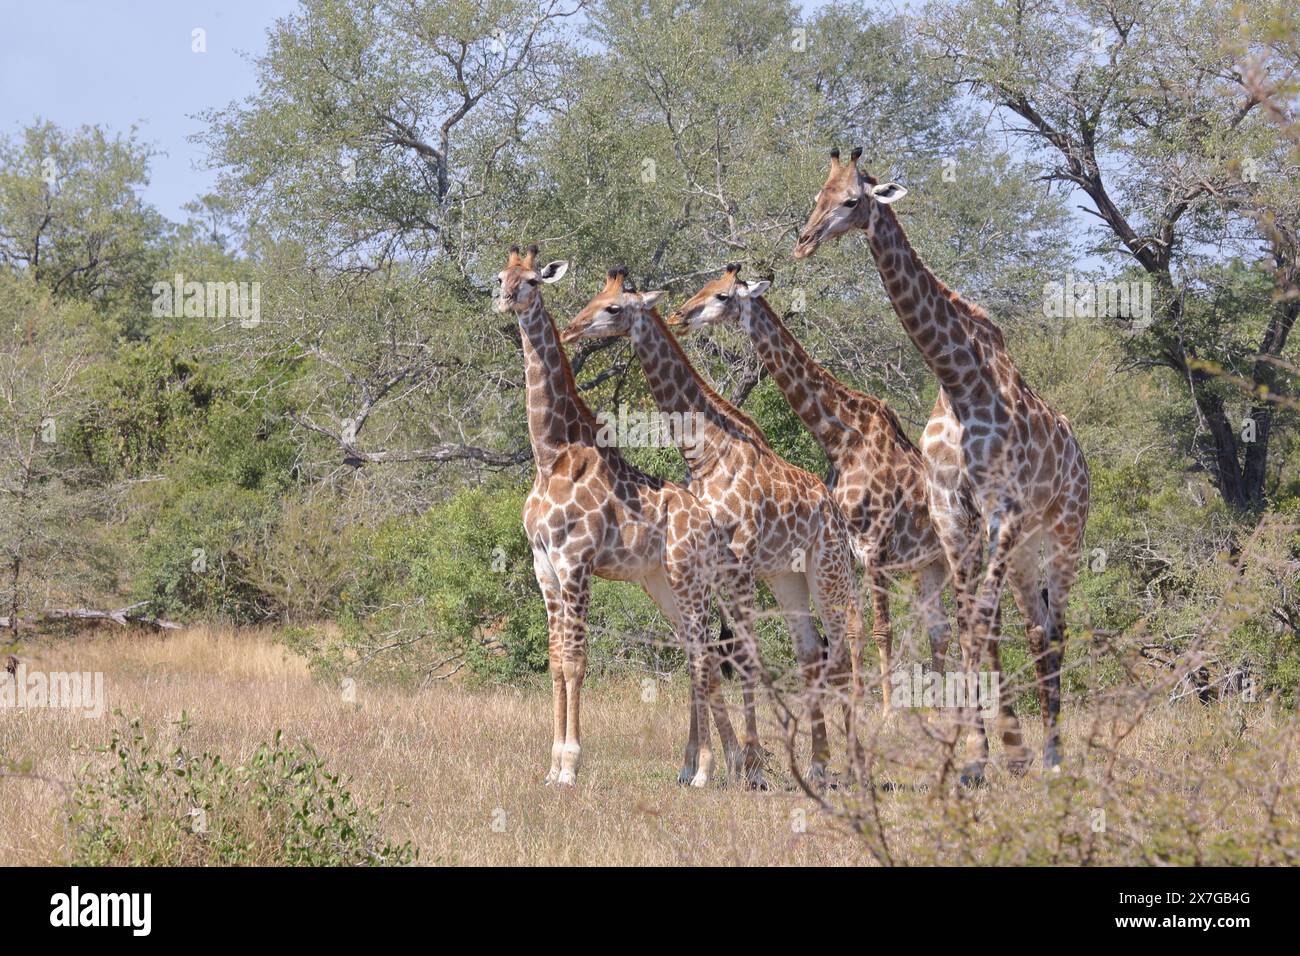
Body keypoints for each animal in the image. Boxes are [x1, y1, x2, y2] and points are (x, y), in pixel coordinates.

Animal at [496, 244, 740, 787]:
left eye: (532, 281)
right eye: (500, 276)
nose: (503, 301)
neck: (551, 454)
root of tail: (710, 520)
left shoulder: (576, 563)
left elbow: (576, 661)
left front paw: (570, 765)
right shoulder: (544, 566)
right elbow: (554, 661)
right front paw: (551, 767)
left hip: (689, 579)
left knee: (704, 655)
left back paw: (708, 769)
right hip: (660, 583)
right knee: (695, 653)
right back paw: (711, 764)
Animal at [562, 267, 869, 786]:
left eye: (613, 307)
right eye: (596, 297)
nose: (570, 328)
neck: (705, 452)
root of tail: (835, 512)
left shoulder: (739, 559)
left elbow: (740, 654)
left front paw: (752, 765)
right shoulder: (710, 564)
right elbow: (710, 653)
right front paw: (706, 764)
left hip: (826, 569)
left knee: (841, 647)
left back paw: (849, 768)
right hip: (785, 576)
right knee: (810, 651)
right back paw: (818, 763)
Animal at [669, 264, 952, 700]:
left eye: (722, 295)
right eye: (705, 285)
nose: (680, 315)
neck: (842, 440)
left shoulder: (876, 547)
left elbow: (880, 631)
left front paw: (883, 710)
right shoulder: (848, 549)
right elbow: (849, 631)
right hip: (929, 565)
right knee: (941, 631)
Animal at [794, 147, 1090, 781]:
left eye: (852, 200)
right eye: (816, 196)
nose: (803, 243)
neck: (960, 381)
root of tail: (1079, 456)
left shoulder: (1001, 509)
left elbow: (975, 621)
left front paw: (983, 751)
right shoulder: (952, 511)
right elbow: (966, 619)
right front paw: (980, 753)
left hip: (1065, 528)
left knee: (1057, 625)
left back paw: (1054, 753)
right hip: (1025, 545)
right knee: (1034, 624)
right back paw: (1033, 747)